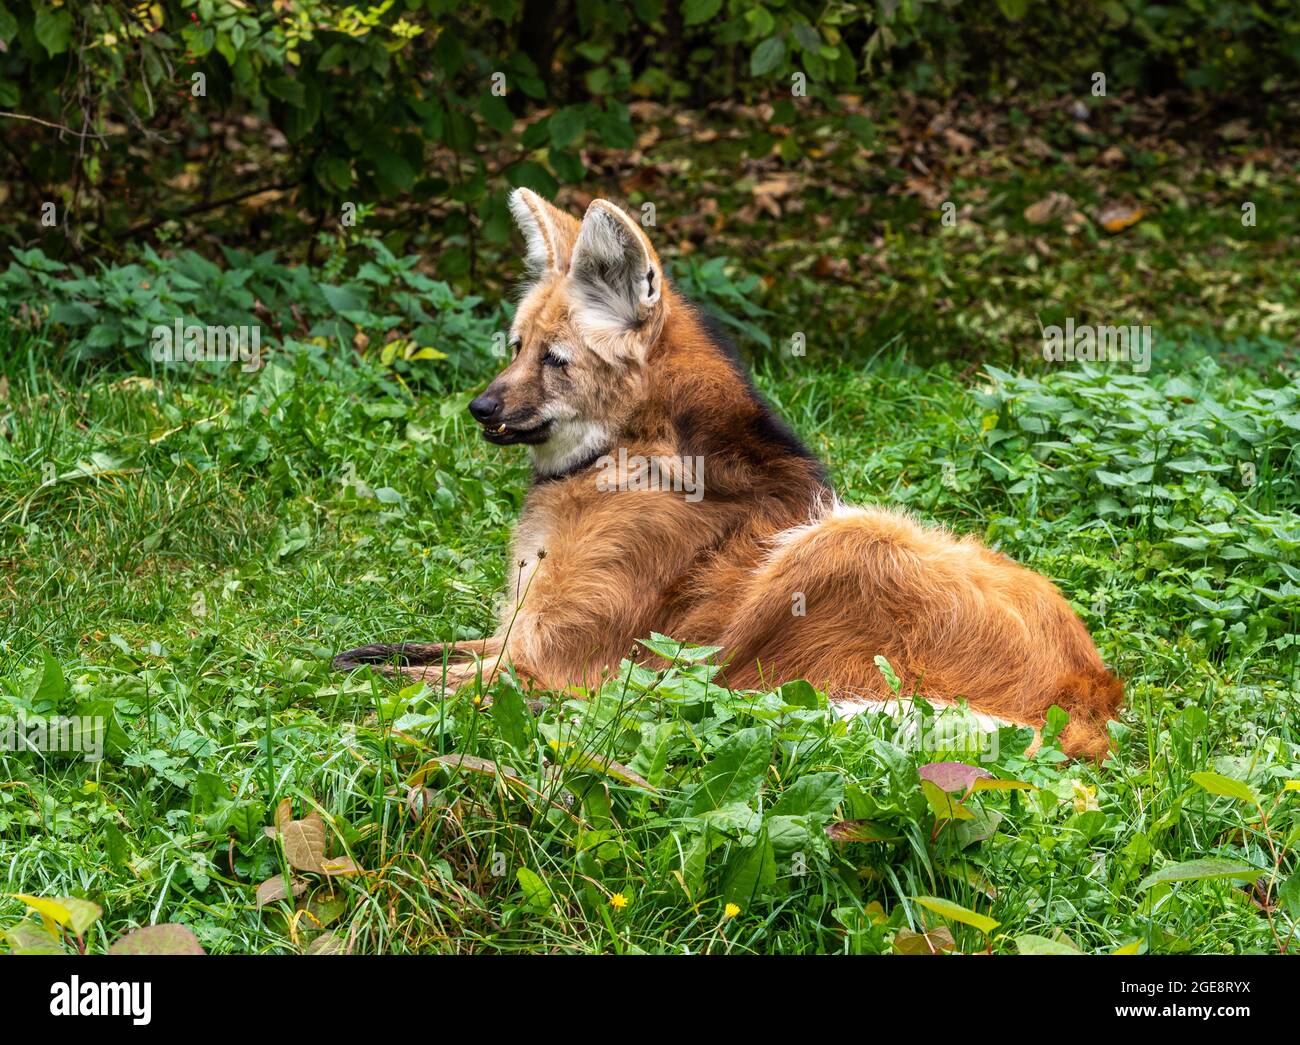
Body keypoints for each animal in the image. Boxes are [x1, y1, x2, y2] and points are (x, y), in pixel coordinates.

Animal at [335, 189, 1124, 759]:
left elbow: (412, 679)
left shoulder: (554, 655)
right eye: (515, 346)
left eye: (555, 360)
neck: (628, 452)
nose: (481, 408)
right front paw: (362, 651)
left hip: (842, 543)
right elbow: (414, 649)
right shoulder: (518, 632)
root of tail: (1094, 690)